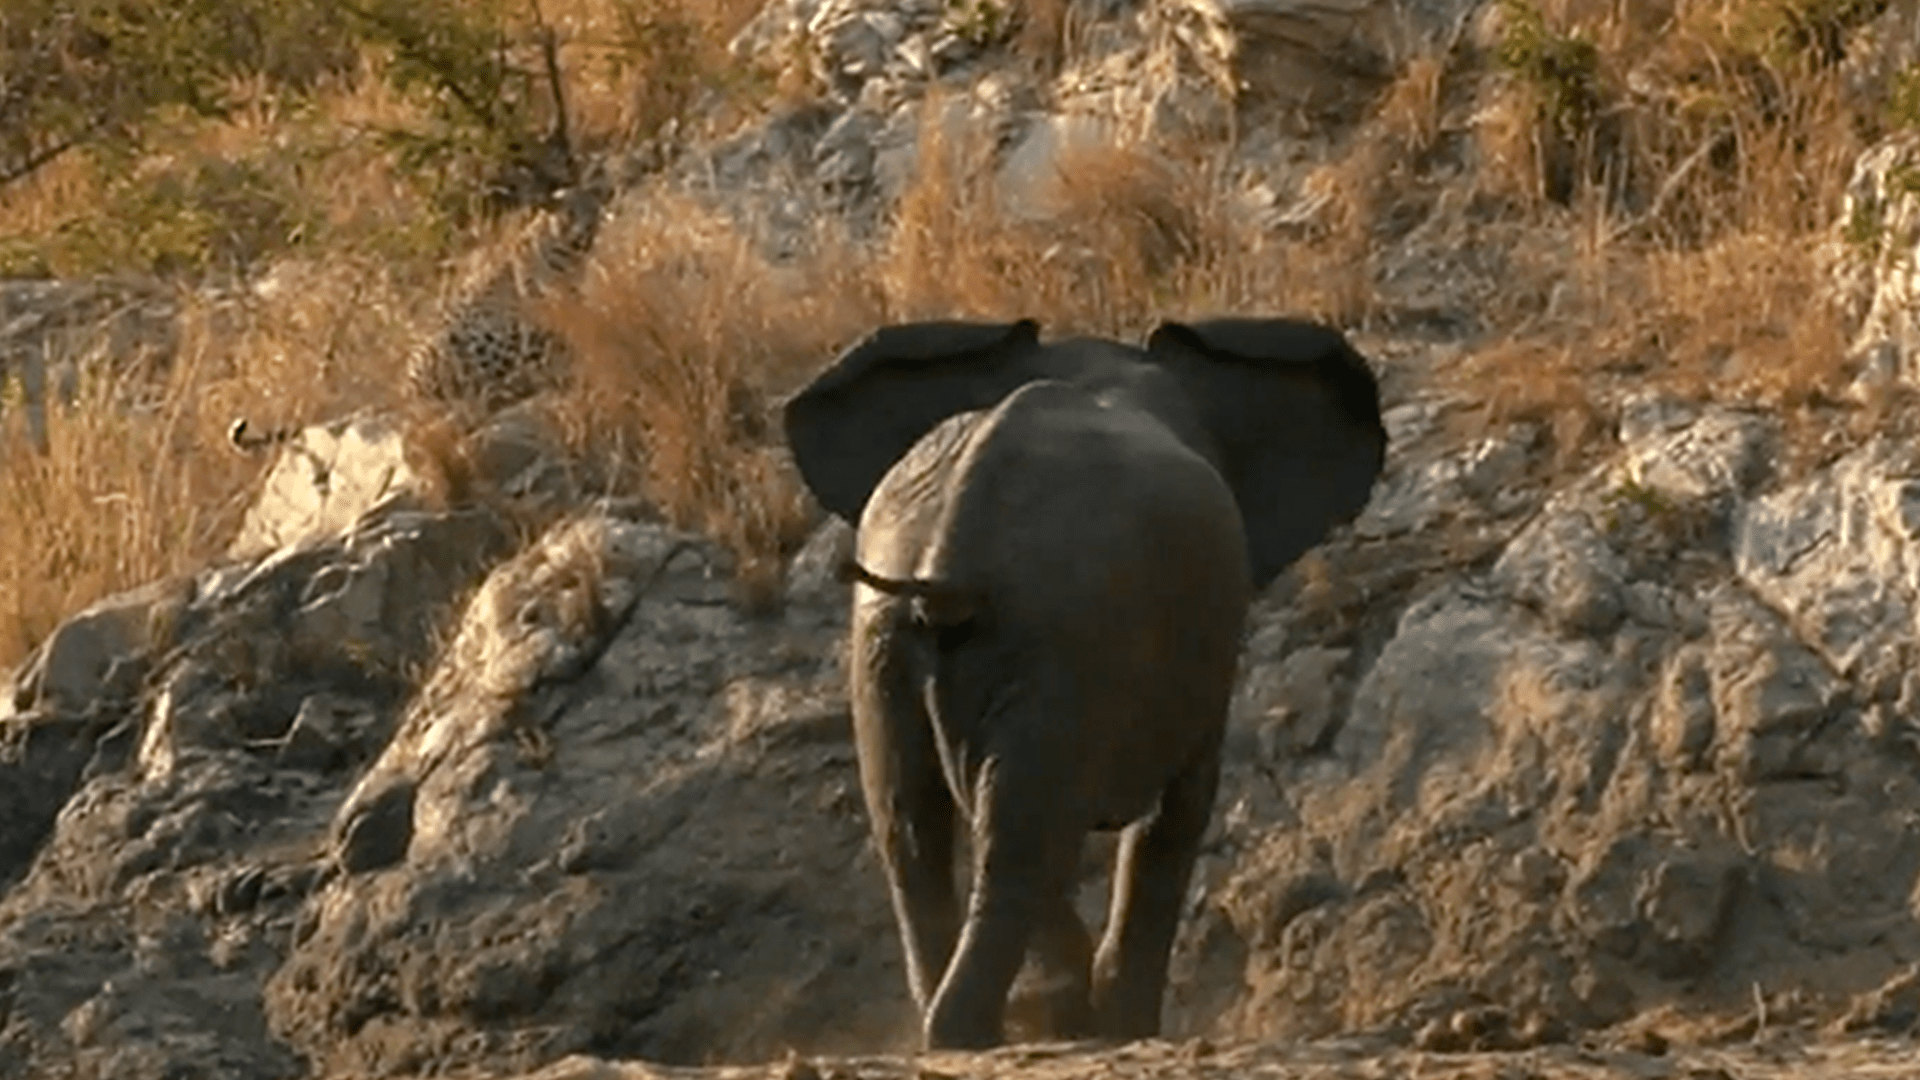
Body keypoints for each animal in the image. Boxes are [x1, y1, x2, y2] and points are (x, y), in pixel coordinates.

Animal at [780, 316, 1387, 1050]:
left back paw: (972, 1030)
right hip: (1059, 634)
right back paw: (992, 1030)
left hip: (887, 640)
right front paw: (1124, 1028)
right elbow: (1174, 815)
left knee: (919, 828)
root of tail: (953, 538)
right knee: (1018, 834)